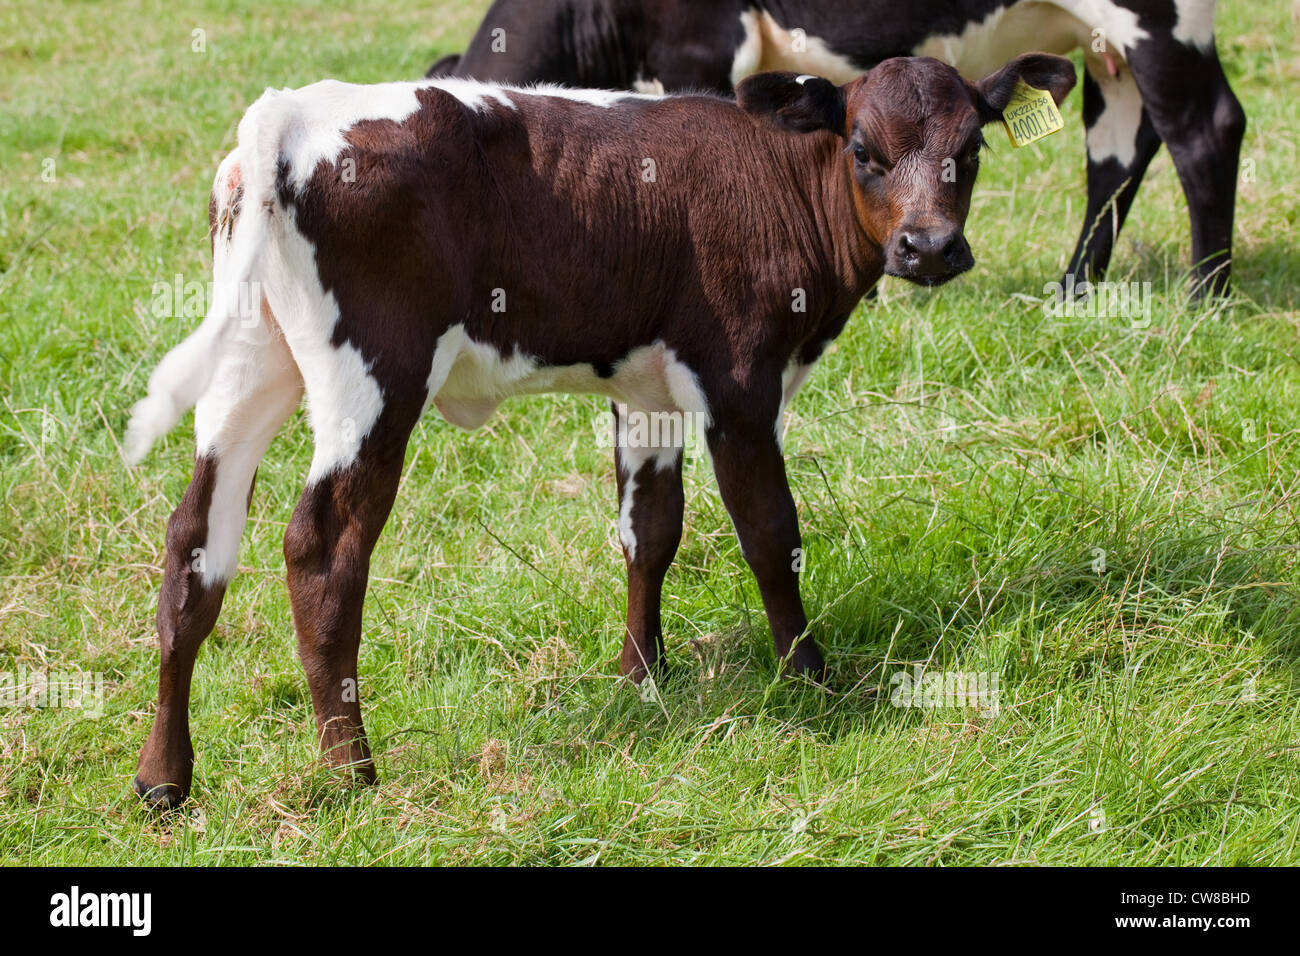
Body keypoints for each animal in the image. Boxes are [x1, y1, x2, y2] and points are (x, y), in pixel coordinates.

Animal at [124, 53, 1076, 808]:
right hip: (372, 378)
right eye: (864, 151)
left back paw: (164, 777)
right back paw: (352, 772)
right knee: (322, 549)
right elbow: (771, 532)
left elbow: (648, 530)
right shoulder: (740, 381)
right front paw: (808, 676)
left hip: (249, 368)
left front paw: (643, 675)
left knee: (194, 545)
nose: (929, 247)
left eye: (971, 150)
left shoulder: (646, 389)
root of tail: (287, 114)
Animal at [428, 0, 1245, 296]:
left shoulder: (698, 41)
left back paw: (1206, 292)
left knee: (1205, 128)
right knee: (1119, 145)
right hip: (1103, 43)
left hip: (1160, 21)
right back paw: (1075, 287)